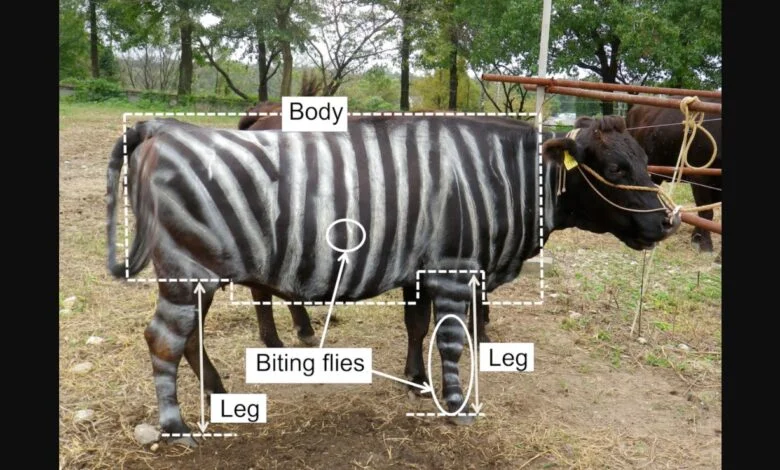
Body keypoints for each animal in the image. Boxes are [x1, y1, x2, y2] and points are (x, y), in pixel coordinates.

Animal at [106, 114, 680, 445]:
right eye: (615, 169)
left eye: (646, 164)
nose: (668, 224)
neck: (499, 177)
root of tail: (162, 129)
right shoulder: (452, 268)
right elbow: (450, 339)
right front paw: (456, 405)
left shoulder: (421, 268)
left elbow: (416, 326)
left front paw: (416, 382)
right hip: (189, 271)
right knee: (163, 340)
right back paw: (176, 428)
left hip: (202, 273)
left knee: (188, 338)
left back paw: (217, 394)